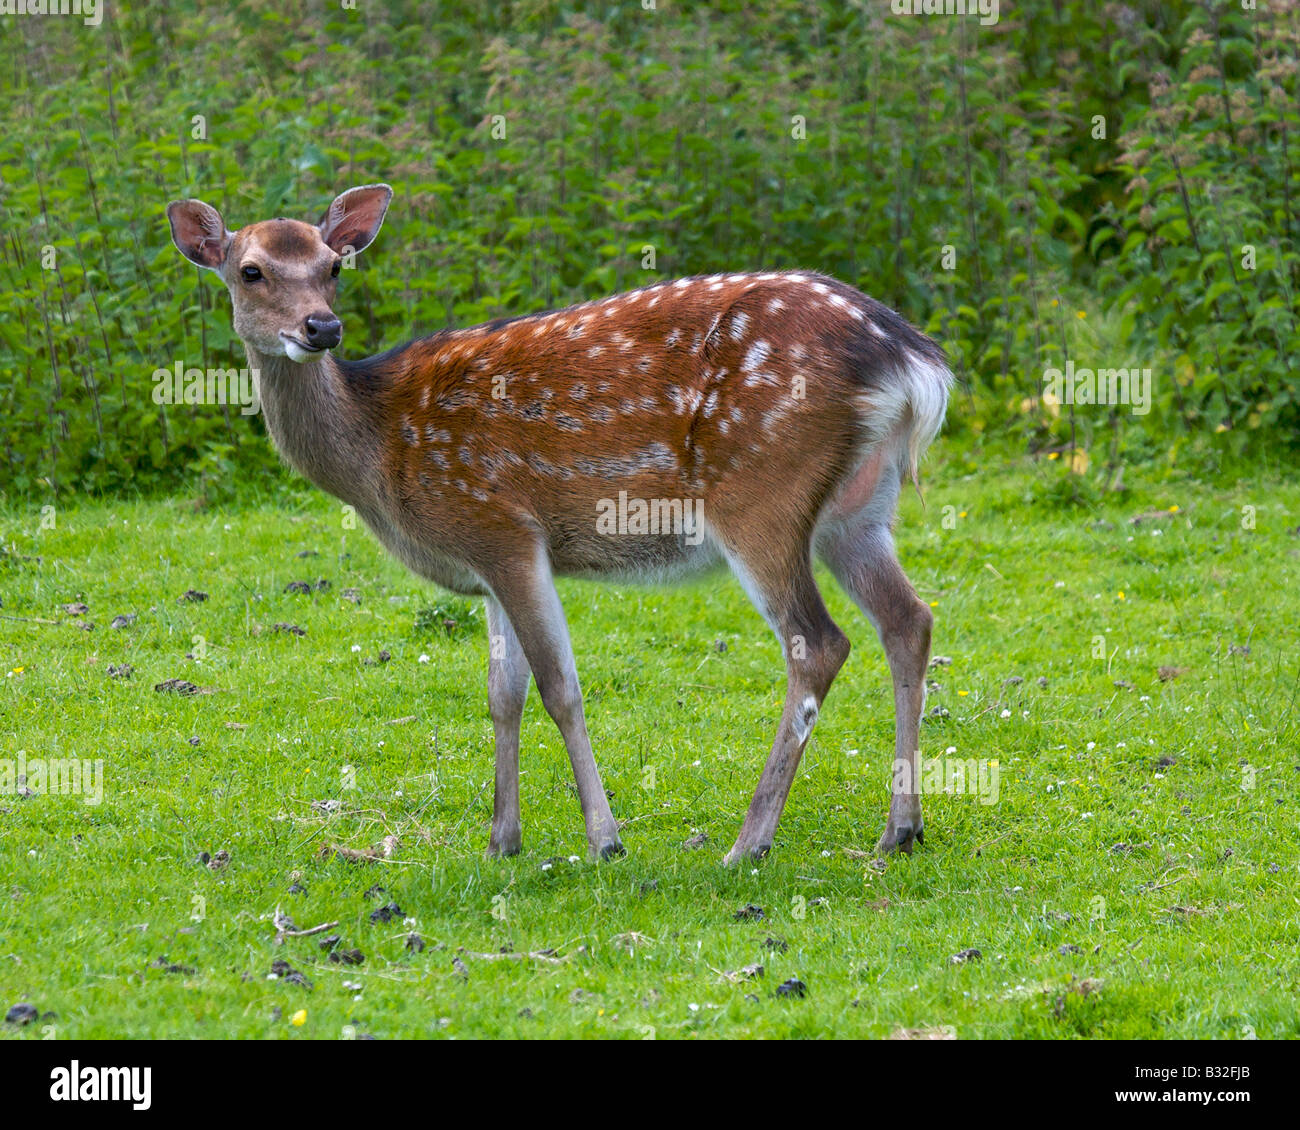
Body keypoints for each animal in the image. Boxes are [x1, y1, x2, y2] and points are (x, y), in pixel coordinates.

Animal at [166, 184, 952, 865]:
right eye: (251, 271)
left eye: (334, 267)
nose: (321, 327)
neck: (377, 454)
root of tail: (911, 360)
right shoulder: (486, 565)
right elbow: (502, 695)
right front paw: (501, 841)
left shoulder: (503, 527)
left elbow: (558, 686)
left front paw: (604, 839)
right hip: (857, 509)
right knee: (908, 619)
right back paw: (900, 828)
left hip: (760, 491)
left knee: (818, 643)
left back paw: (747, 842)